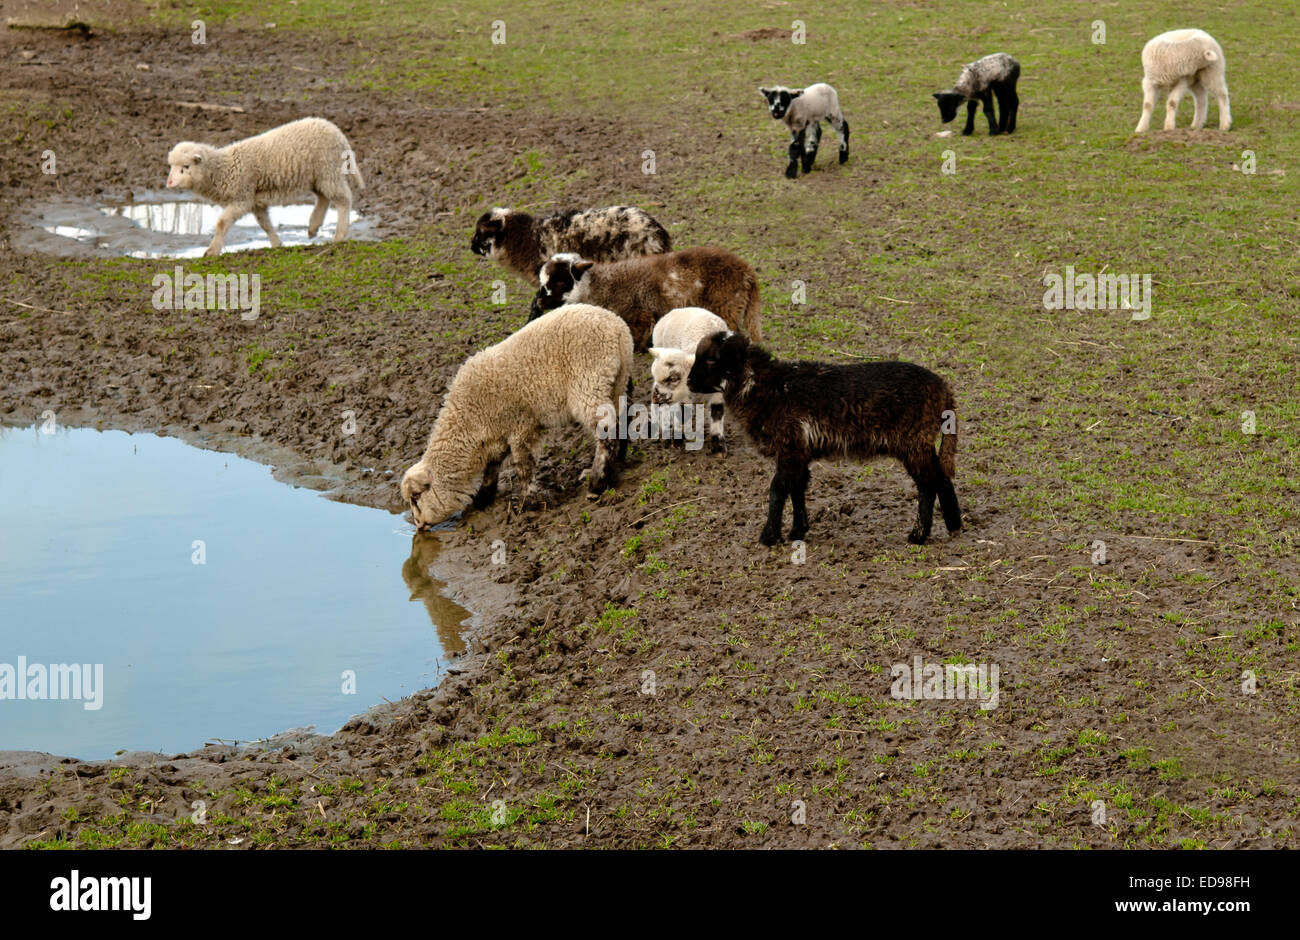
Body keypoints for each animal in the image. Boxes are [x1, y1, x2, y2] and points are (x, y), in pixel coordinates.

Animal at [166, 117, 363, 257]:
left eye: (186, 167)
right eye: (171, 166)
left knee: (344, 199)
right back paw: (313, 226)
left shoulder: (242, 198)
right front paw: (277, 244)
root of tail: (338, 133)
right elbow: (264, 224)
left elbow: (222, 223)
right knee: (323, 197)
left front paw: (211, 251)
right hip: (318, 176)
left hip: (328, 170)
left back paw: (338, 236)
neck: (224, 168)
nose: (169, 183)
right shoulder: (254, 201)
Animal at [400, 303, 633, 528]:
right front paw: (482, 500)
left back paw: (597, 483)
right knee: (622, 420)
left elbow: (523, 465)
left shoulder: (521, 425)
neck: (466, 422)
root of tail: (618, 329)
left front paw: (528, 502)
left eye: (416, 497)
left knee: (606, 432)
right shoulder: (495, 435)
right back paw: (616, 462)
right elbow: (492, 468)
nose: (418, 525)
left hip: (588, 383)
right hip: (616, 382)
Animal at [528, 247, 762, 349]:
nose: (539, 302)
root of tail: (747, 272)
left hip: (726, 305)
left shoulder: (639, 314)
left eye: (560, 282)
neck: (600, 286)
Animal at [648, 307, 731, 454]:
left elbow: (717, 411)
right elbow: (682, 412)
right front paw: (677, 441)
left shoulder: (720, 389)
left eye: (673, 378)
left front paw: (719, 446)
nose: (656, 398)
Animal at [686, 331, 961, 546]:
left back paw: (919, 535)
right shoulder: (800, 451)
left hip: (913, 441)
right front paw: (797, 532)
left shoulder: (790, 447)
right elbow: (797, 488)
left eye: (711, 359)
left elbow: (778, 489)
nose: (689, 382)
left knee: (928, 484)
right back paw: (954, 525)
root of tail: (944, 390)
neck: (766, 388)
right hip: (922, 442)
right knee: (942, 477)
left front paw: (768, 537)